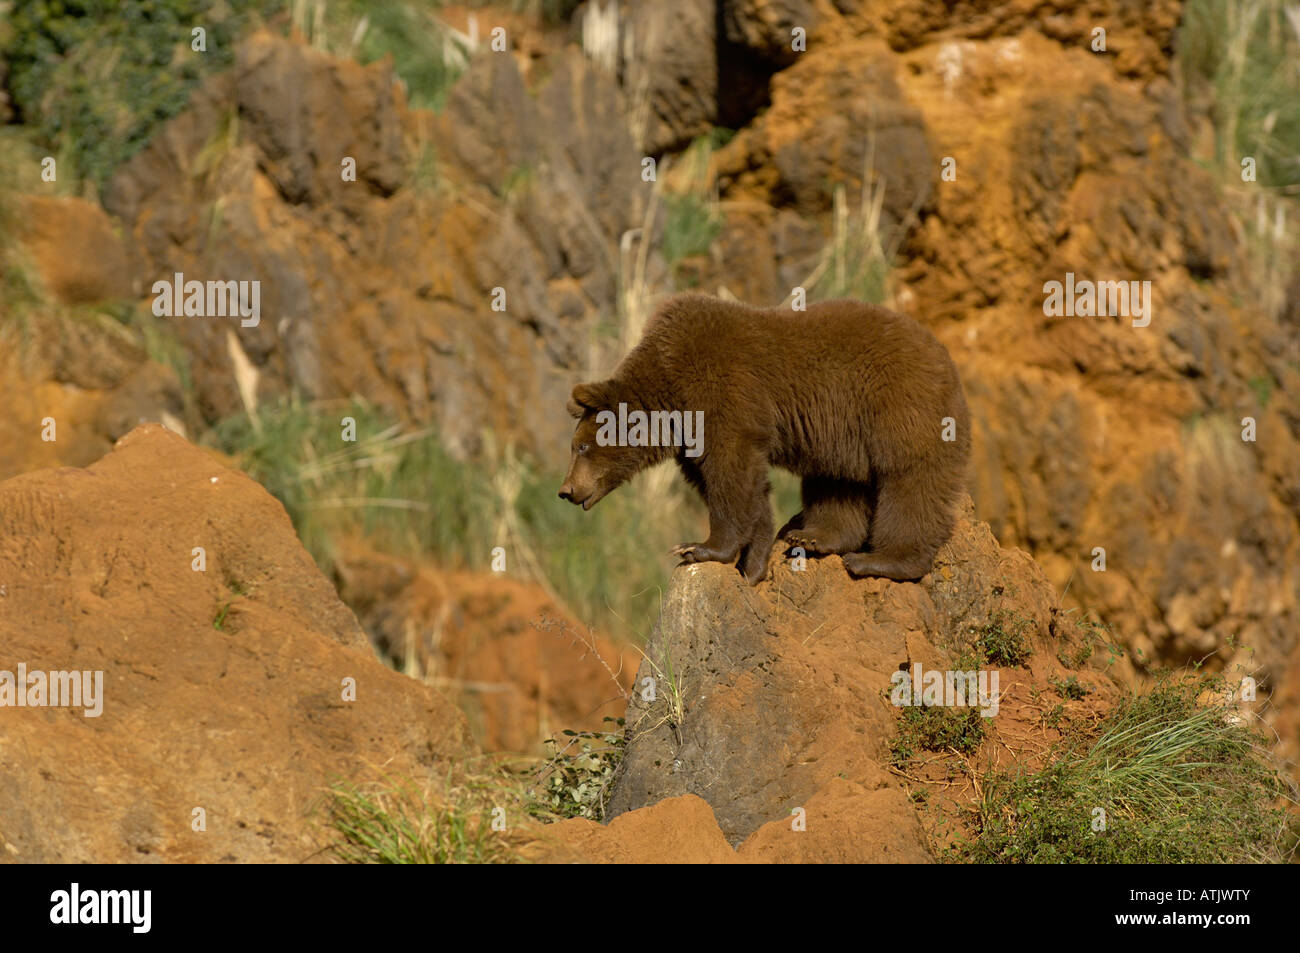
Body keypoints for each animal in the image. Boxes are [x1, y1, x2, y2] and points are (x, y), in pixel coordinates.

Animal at [558, 293, 971, 585]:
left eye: (581, 446)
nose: (566, 490)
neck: (669, 397)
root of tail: (947, 360)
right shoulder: (694, 434)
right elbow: (742, 485)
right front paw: (753, 564)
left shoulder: (723, 393)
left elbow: (731, 471)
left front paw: (698, 548)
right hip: (844, 439)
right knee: (837, 484)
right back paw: (812, 537)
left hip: (899, 405)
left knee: (909, 480)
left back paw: (882, 559)